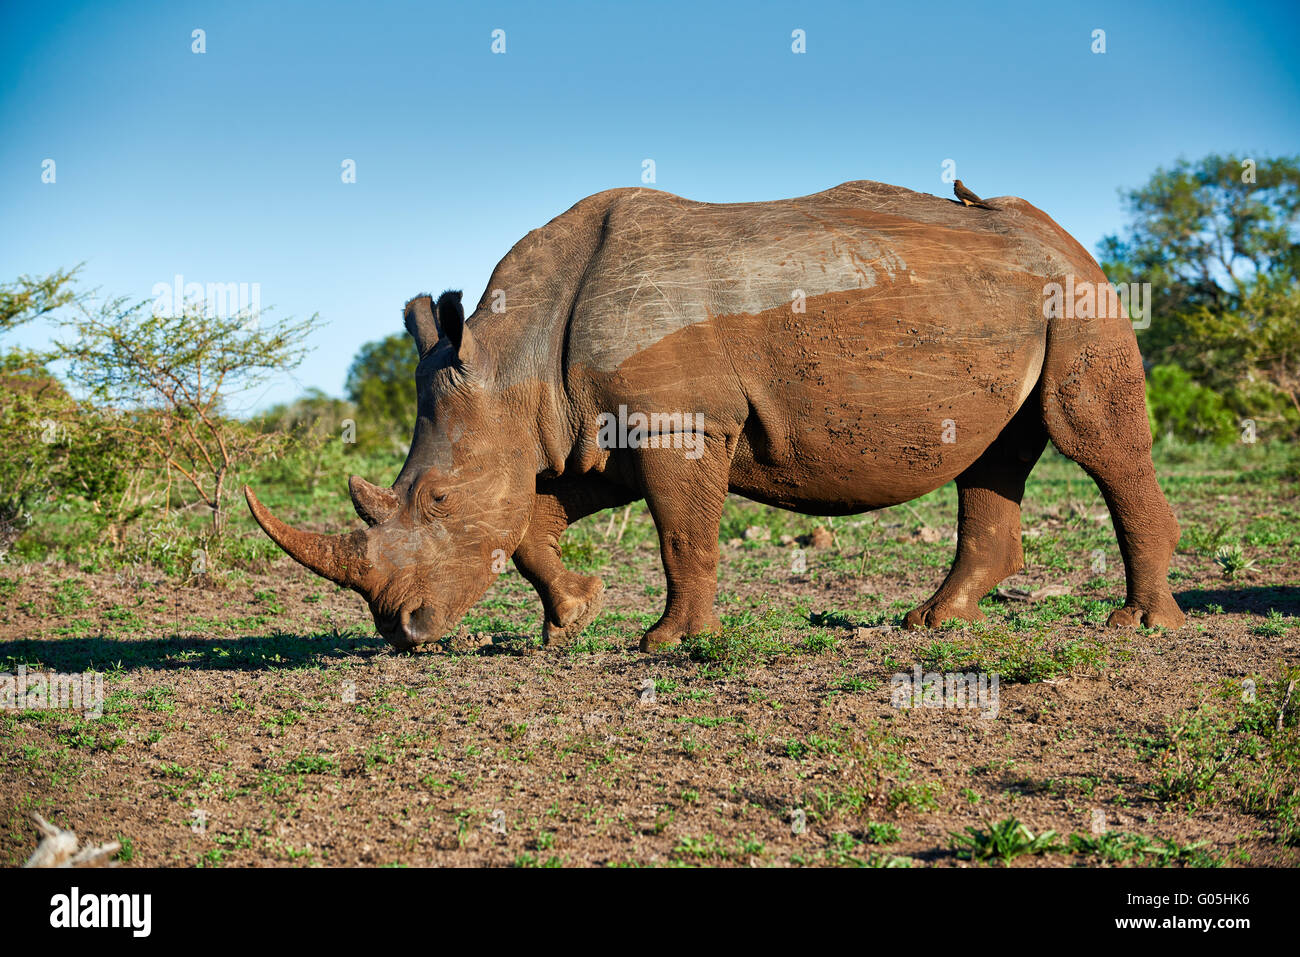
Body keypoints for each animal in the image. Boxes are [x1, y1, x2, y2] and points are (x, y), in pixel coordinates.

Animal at [246, 179, 1186, 652]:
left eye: (437, 500)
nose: (400, 630)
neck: (514, 361)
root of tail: (1061, 235)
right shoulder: (594, 428)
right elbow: (531, 521)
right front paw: (571, 618)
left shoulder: (674, 423)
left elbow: (680, 534)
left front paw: (666, 642)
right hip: (1015, 296)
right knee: (992, 453)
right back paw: (933, 624)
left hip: (1078, 291)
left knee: (1090, 440)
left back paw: (1138, 625)